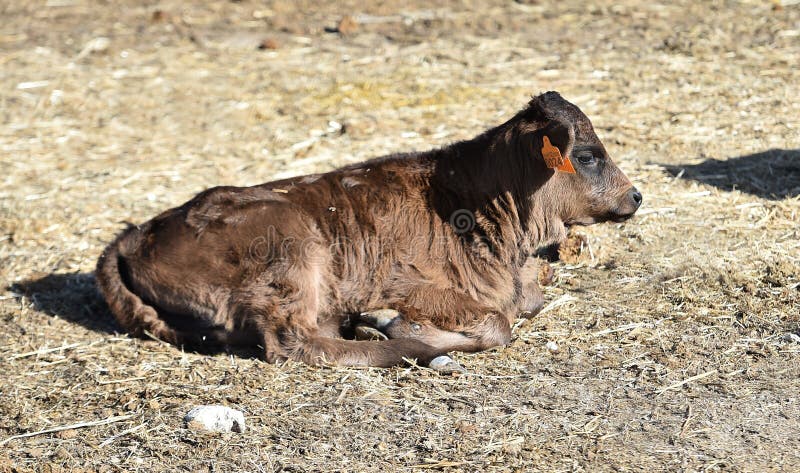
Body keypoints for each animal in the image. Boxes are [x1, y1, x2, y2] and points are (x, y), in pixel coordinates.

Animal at [95, 91, 641, 370]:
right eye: (587, 156)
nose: (636, 196)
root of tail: (138, 234)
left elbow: (525, 306)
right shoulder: (412, 284)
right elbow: (497, 323)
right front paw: (401, 323)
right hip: (292, 254)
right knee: (294, 343)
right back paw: (404, 340)